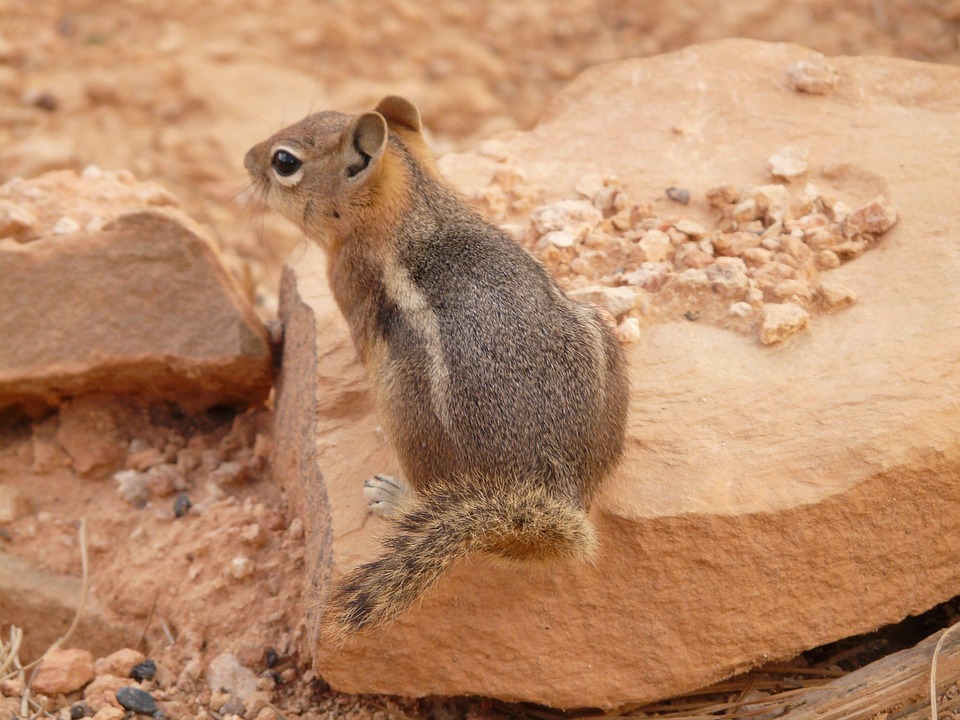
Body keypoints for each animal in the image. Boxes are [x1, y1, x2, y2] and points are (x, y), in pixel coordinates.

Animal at [244, 96, 629, 643]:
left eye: (283, 161)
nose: (246, 159)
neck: (417, 203)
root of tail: (554, 491)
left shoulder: (351, 290)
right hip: (603, 335)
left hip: (406, 409)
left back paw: (392, 496)